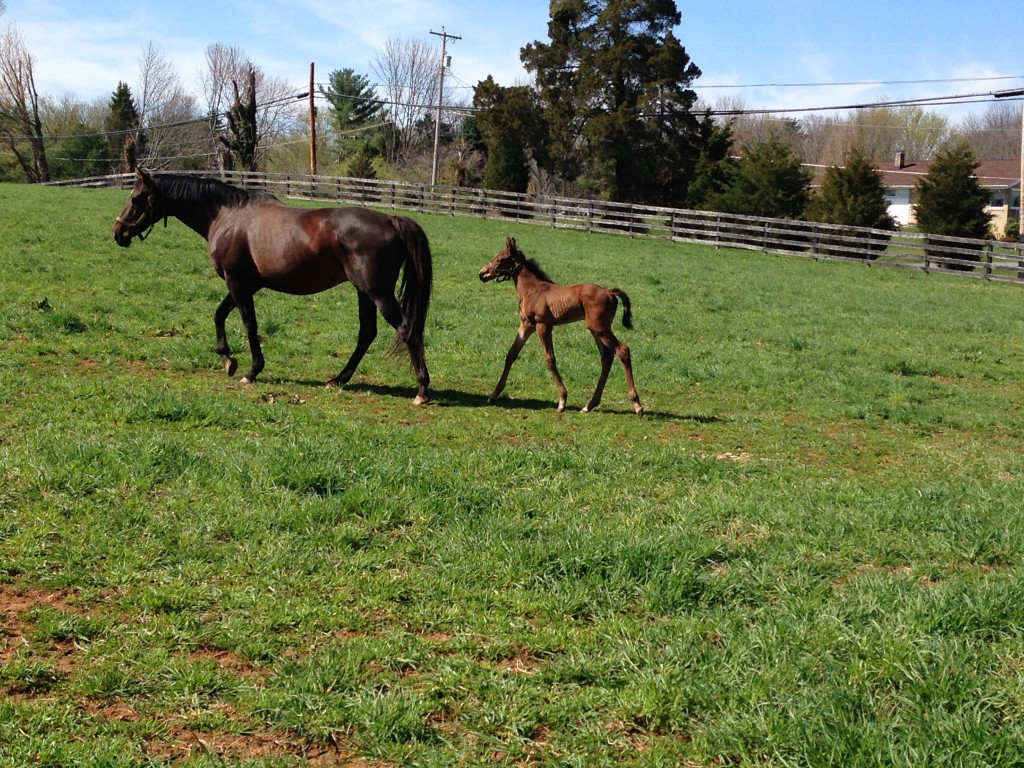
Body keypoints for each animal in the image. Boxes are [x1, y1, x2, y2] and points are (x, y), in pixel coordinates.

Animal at [113, 169, 432, 404]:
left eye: (137, 197)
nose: (118, 233)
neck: (228, 216)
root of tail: (391, 219)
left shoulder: (238, 283)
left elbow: (248, 324)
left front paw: (251, 370)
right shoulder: (246, 285)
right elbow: (219, 315)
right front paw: (228, 360)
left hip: (378, 294)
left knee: (407, 330)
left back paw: (421, 391)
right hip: (364, 293)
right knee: (367, 333)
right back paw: (338, 379)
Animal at [478, 237, 644, 416]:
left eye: (500, 259)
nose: (482, 273)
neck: (533, 290)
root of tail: (610, 292)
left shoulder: (543, 325)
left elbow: (550, 359)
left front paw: (562, 400)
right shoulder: (526, 325)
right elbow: (511, 354)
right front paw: (493, 395)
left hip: (600, 328)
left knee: (622, 350)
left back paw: (637, 405)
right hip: (596, 330)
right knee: (606, 357)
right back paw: (589, 405)